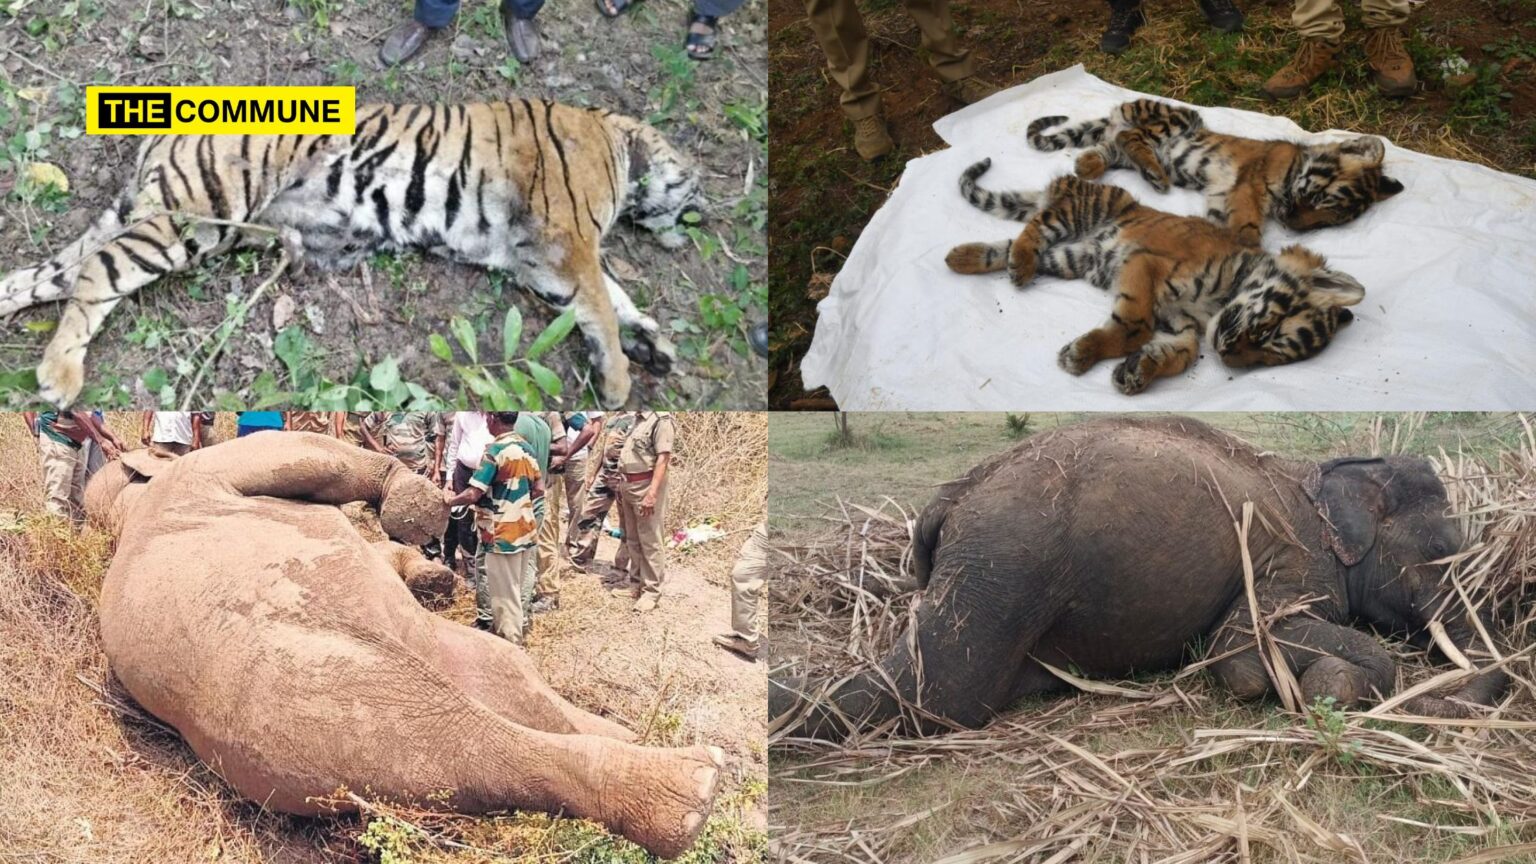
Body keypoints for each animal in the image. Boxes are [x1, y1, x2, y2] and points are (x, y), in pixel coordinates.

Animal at [0, 100, 702, 408]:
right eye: (691, 187)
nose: (697, 215)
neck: (617, 143)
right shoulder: (563, 237)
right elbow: (600, 302)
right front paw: (619, 379)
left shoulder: (532, 255)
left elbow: (610, 298)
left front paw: (653, 346)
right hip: (192, 214)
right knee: (97, 274)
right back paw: (58, 378)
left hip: (168, 216)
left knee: (56, 274)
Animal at [88, 432, 724, 858]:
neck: (123, 512)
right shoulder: (208, 467)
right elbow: (310, 453)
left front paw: (429, 564)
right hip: (321, 712)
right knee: (462, 737)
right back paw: (695, 790)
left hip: (415, 660)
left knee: (505, 671)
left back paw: (659, 746)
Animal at [770, 416, 1509, 740]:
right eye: (1442, 548)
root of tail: (951, 498)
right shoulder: (1287, 560)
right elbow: (1240, 641)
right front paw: (1308, 683)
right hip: (1003, 564)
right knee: (937, 695)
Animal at [945, 159, 1364, 395]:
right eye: (1267, 331)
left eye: (1268, 360)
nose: (1227, 356)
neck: (1217, 304)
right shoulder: (1146, 266)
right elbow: (1135, 325)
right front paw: (1081, 355)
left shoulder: (1184, 325)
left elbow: (1182, 353)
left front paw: (1136, 372)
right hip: (1085, 209)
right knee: (1036, 226)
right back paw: (1017, 263)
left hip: (1073, 257)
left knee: (1011, 244)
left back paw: (964, 257)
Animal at [1025, 98, 1404, 247]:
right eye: (1319, 199)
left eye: (1326, 223)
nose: (1294, 226)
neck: (1297, 165)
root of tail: (1117, 113)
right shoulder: (1250, 183)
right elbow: (1248, 225)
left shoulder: (1224, 193)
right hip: (1179, 117)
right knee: (1129, 136)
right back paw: (1155, 174)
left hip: (1123, 147)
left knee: (1111, 146)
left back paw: (1089, 165)